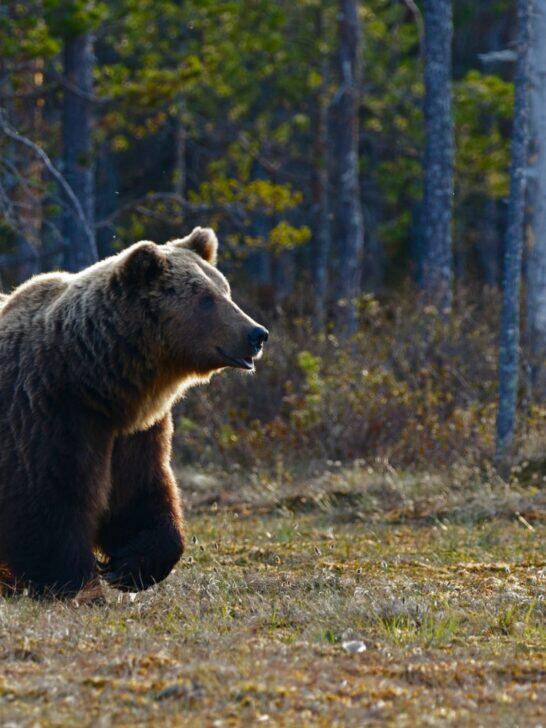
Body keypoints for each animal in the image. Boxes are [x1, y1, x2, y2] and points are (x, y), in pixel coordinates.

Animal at [0, 227, 268, 599]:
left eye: (225, 290)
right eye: (206, 299)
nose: (257, 333)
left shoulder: (134, 432)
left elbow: (140, 493)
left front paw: (129, 567)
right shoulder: (48, 413)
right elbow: (49, 500)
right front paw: (77, 584)